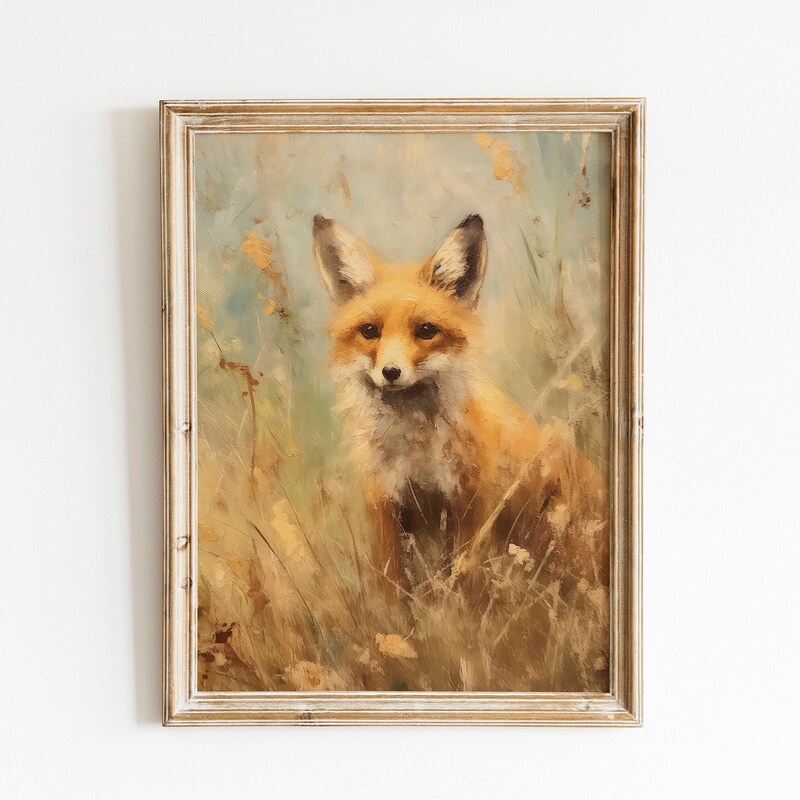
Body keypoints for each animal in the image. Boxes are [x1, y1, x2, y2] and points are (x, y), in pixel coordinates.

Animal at [313, 213, 608, 608]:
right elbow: (391, 588)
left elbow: (465, 586)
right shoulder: (386, 506)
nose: (390, 372)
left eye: (426, 331)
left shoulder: (469, 505)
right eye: (370, 331)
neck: (415, 451)